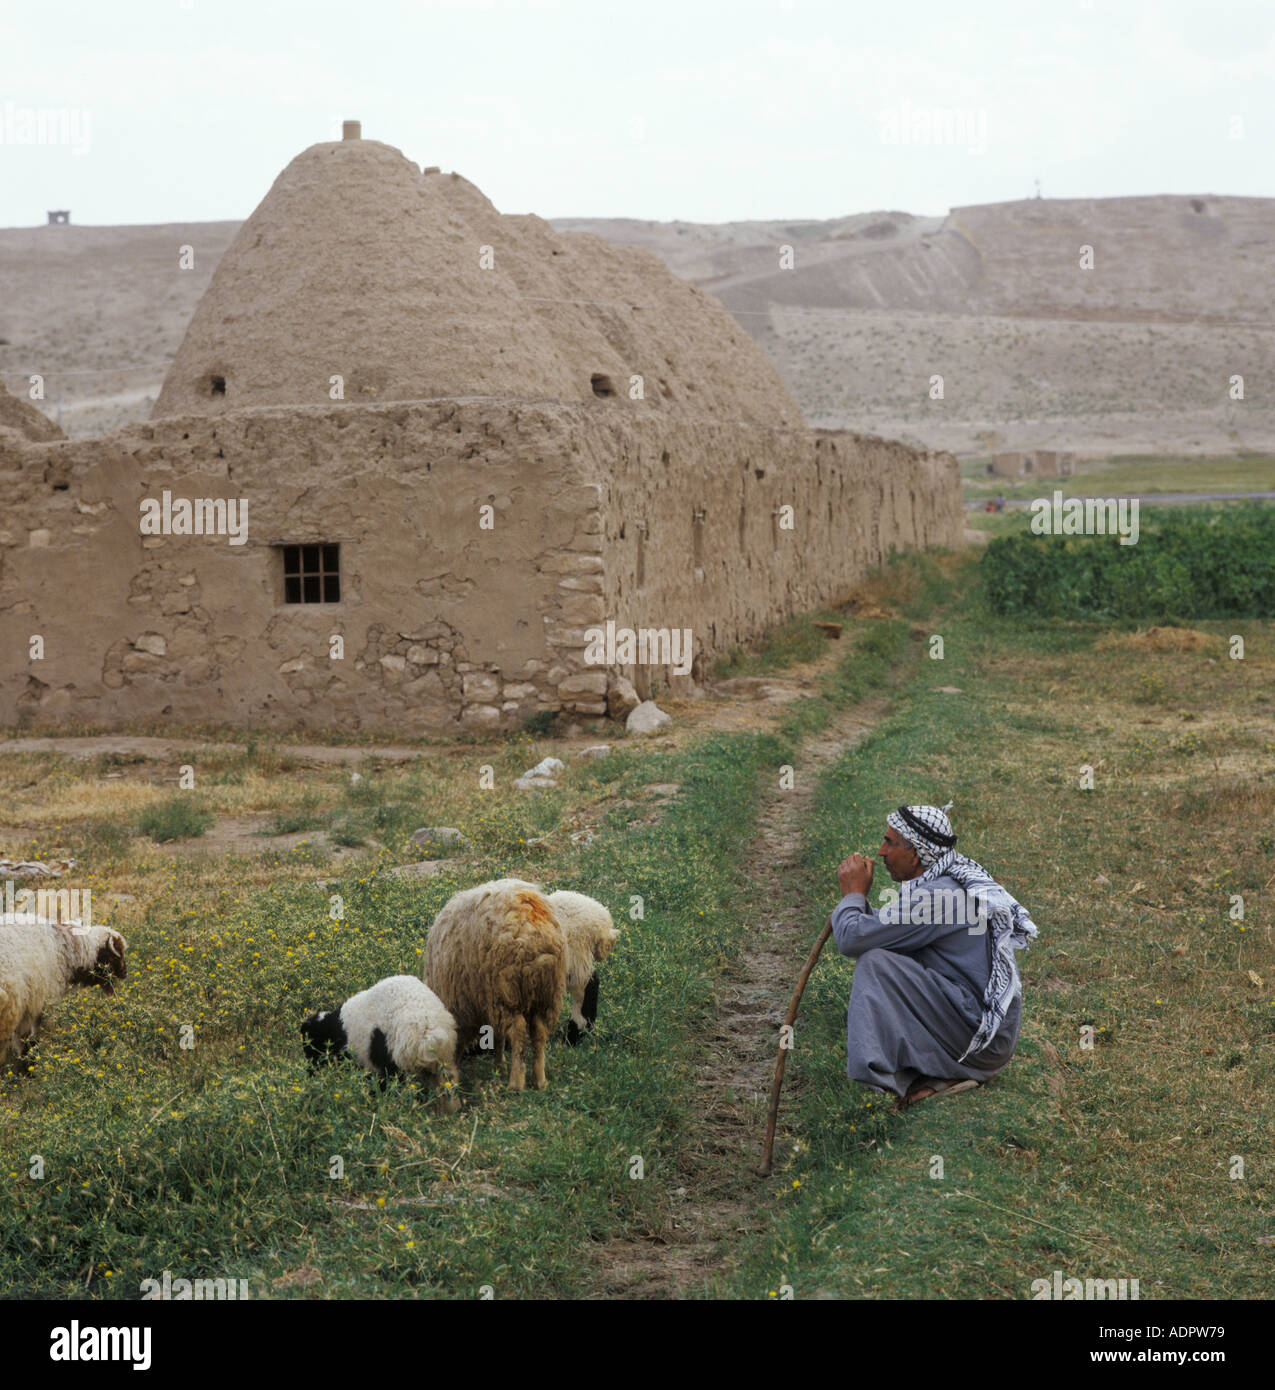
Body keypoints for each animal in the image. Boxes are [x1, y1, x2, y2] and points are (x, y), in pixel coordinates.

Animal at [300, 975, 460, 1112]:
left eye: (310, 1046)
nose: (310, 1072)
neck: (337, 1027)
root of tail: (427, 1030)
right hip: (442, 1062)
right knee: (448, 1085)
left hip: (398, 1064)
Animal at [424, 878, 566, 1091]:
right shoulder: (486, 1003)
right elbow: (497, 1036)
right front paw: (499, 1065)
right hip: (546, 994)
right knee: (539, 1032)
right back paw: (539, 1080)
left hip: (505, 991)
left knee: (518, 1034)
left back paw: (516, 1083)